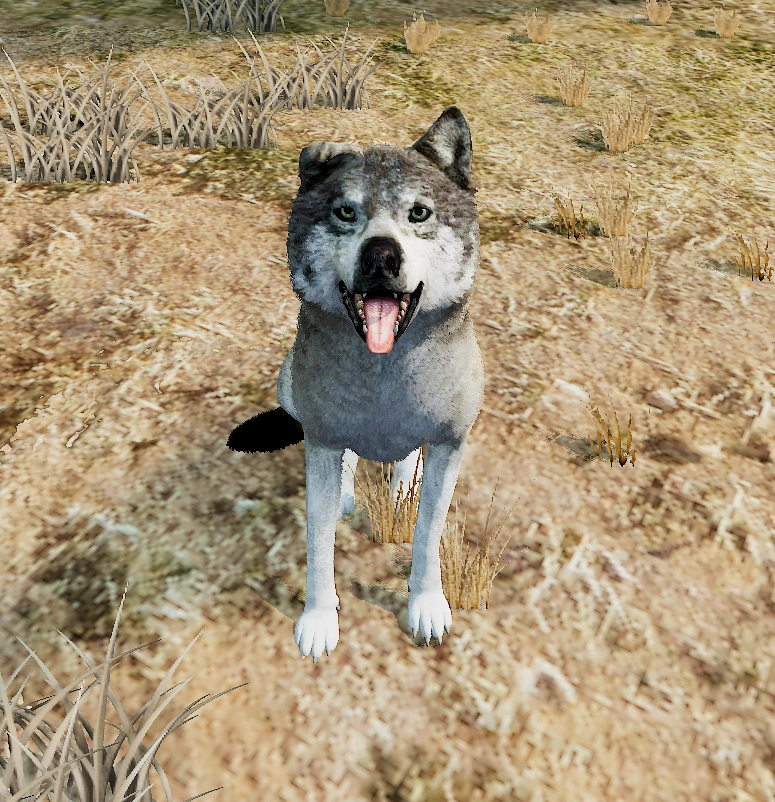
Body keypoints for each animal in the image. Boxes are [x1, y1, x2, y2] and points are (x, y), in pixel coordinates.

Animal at [228, 106, 485, 660]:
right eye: (346, 212)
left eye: (419, 213)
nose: (381, 255)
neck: (383, 375)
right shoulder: (321, 444)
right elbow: (318, 540)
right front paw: (319, 619)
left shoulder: (451, 444)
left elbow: (428, 533)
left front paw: (425, 604)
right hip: (289, 385)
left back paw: (402, 481)